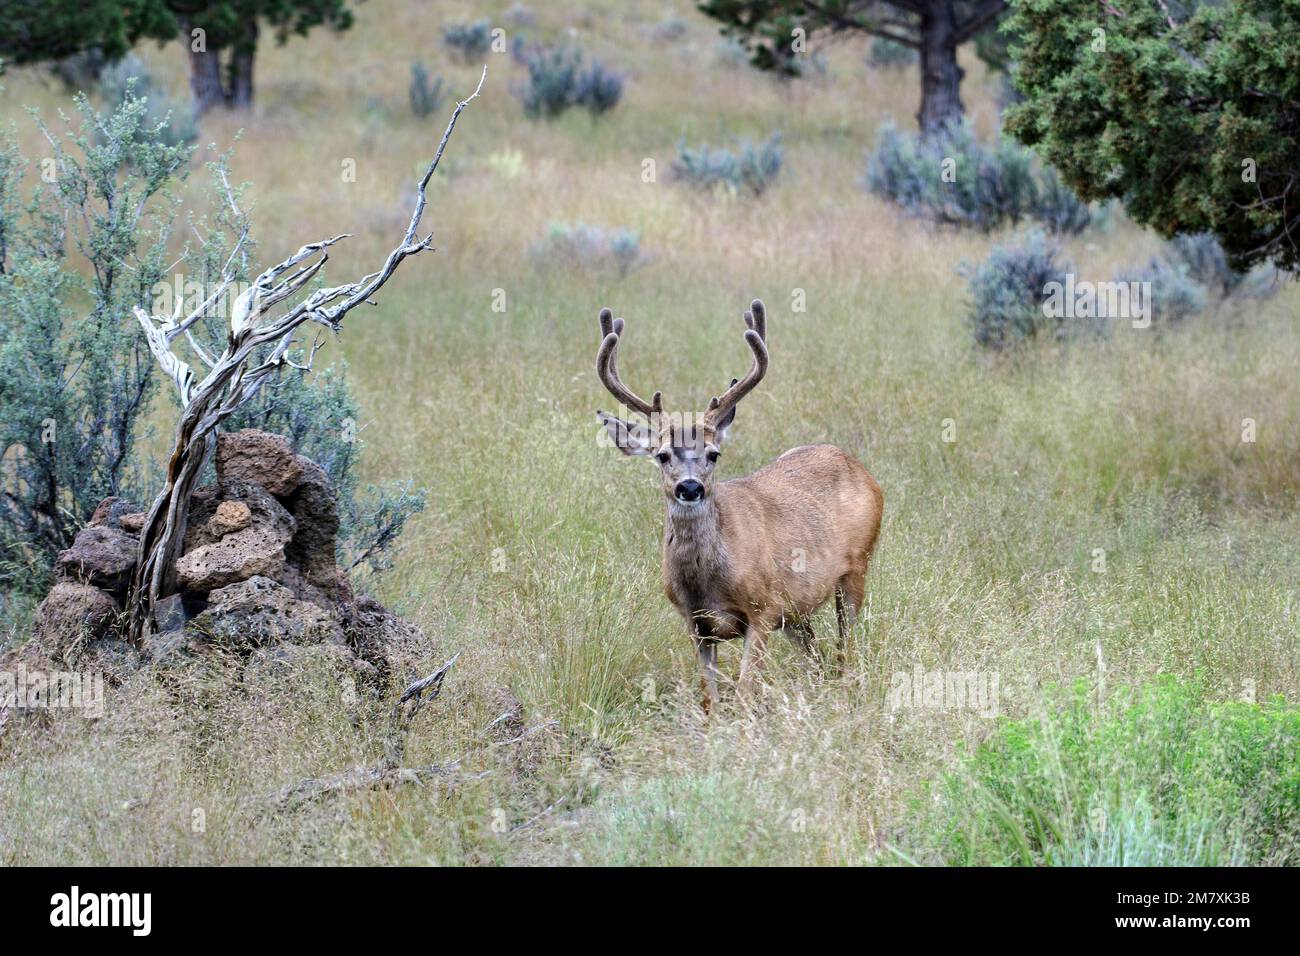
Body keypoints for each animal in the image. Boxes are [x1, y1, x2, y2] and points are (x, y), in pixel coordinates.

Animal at [594, 299, 883, 709]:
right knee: (819, 656)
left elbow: (745, 692)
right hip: (797, 610)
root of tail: (860, 468)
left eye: (713, 454)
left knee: (846, 651)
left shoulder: (762, 610)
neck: (706, 582)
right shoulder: (695, 624)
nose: (690, 487)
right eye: (662, 455)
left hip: (857, 568)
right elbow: (710, 699)